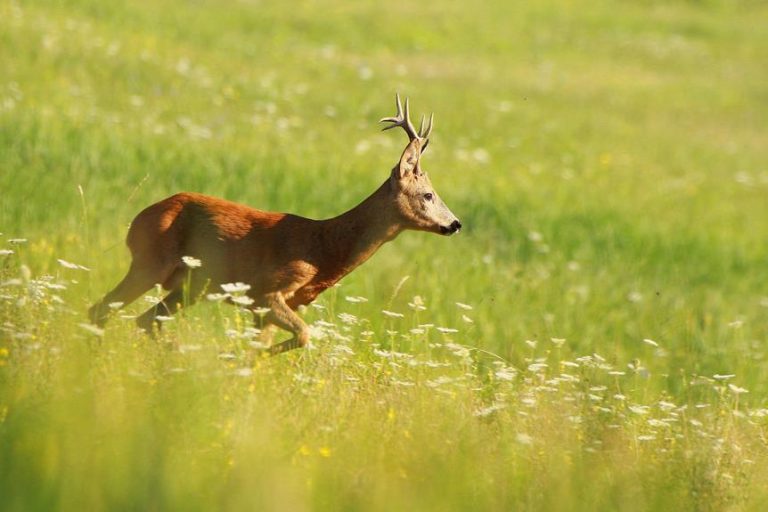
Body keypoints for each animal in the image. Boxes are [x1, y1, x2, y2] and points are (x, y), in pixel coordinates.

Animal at [88, 94, 462, 355]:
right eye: (428, 194)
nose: (455, 223)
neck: (323, 249)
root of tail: (139, 217)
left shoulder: (271, 306)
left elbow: (263, 348)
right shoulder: (266, 290)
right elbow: (305, 335)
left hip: (189, 286)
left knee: (144, 320)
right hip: (150, 262)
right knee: (102, 309)